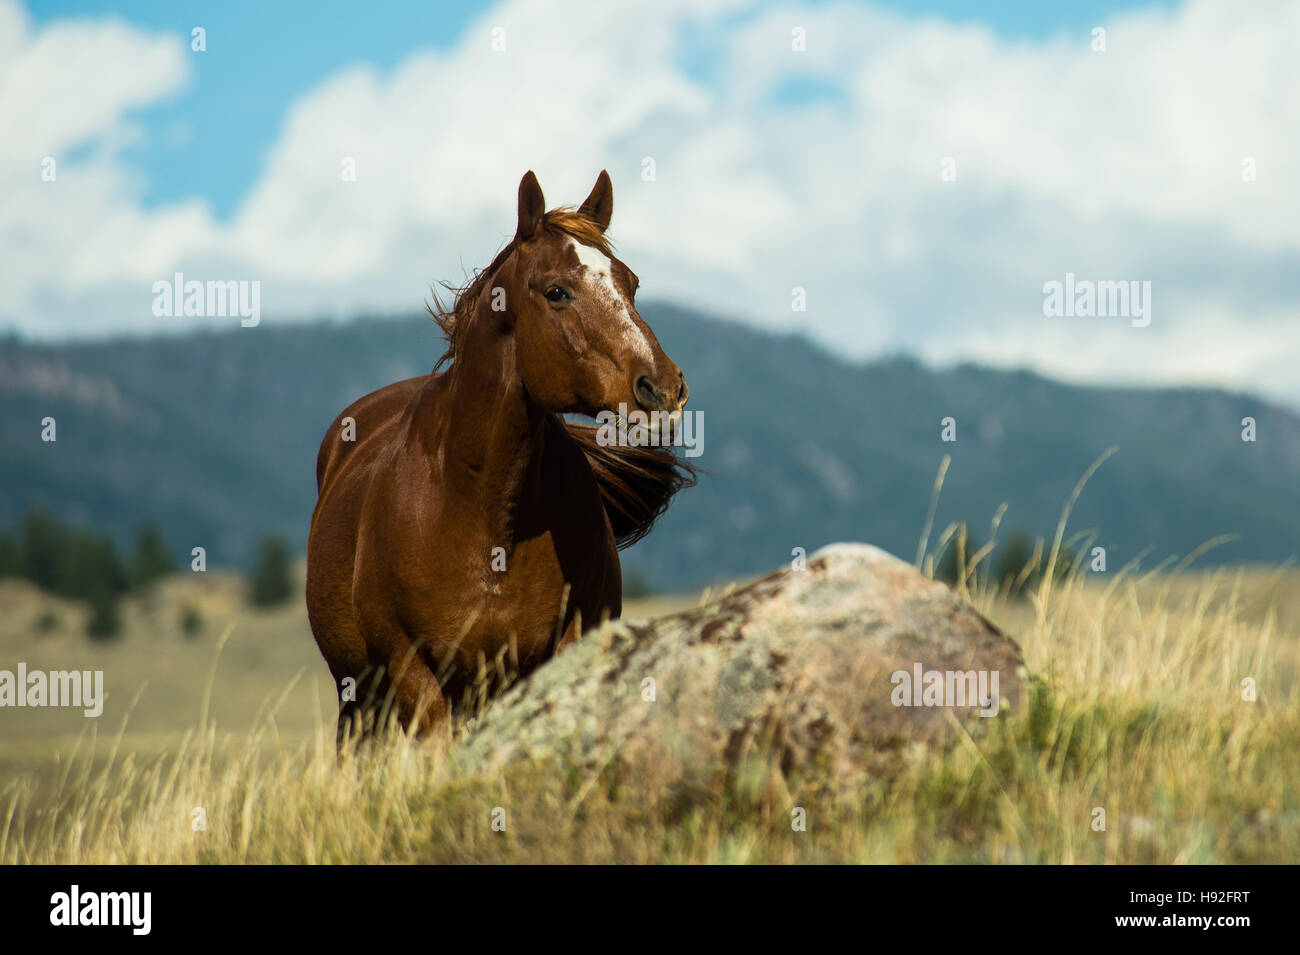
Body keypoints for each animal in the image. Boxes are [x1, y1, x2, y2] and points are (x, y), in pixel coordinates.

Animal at [305, 170, 695, 743]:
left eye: (632, 283)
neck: (484, 521)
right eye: (557, 291)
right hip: (359, 697)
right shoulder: (415, 674)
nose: (663, 389)